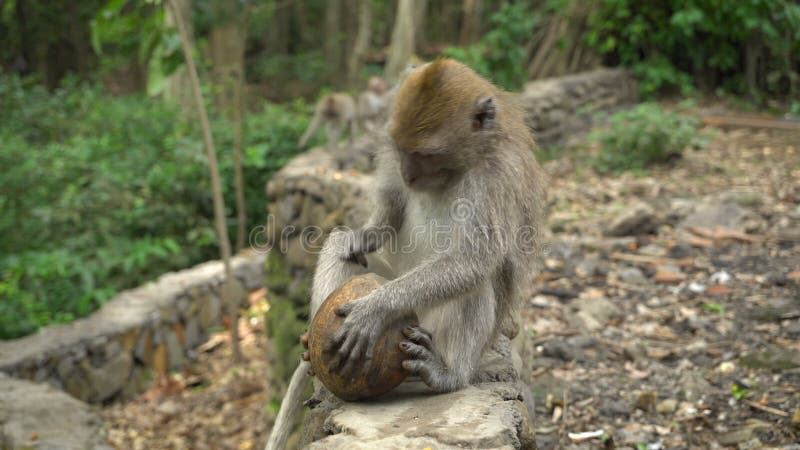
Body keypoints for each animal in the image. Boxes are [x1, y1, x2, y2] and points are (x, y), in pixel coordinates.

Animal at [265, 58, 546, 450]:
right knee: (339, 244)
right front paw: (365, 235)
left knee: (474, 282)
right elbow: (389, 209)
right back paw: (313, 355)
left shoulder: (497, 176)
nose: (408, 173)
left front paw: (374, 309)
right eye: (401, 150)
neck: (463, 164)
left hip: (431, 328)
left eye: (426, 154)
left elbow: (472, 260)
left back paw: (449, 374)